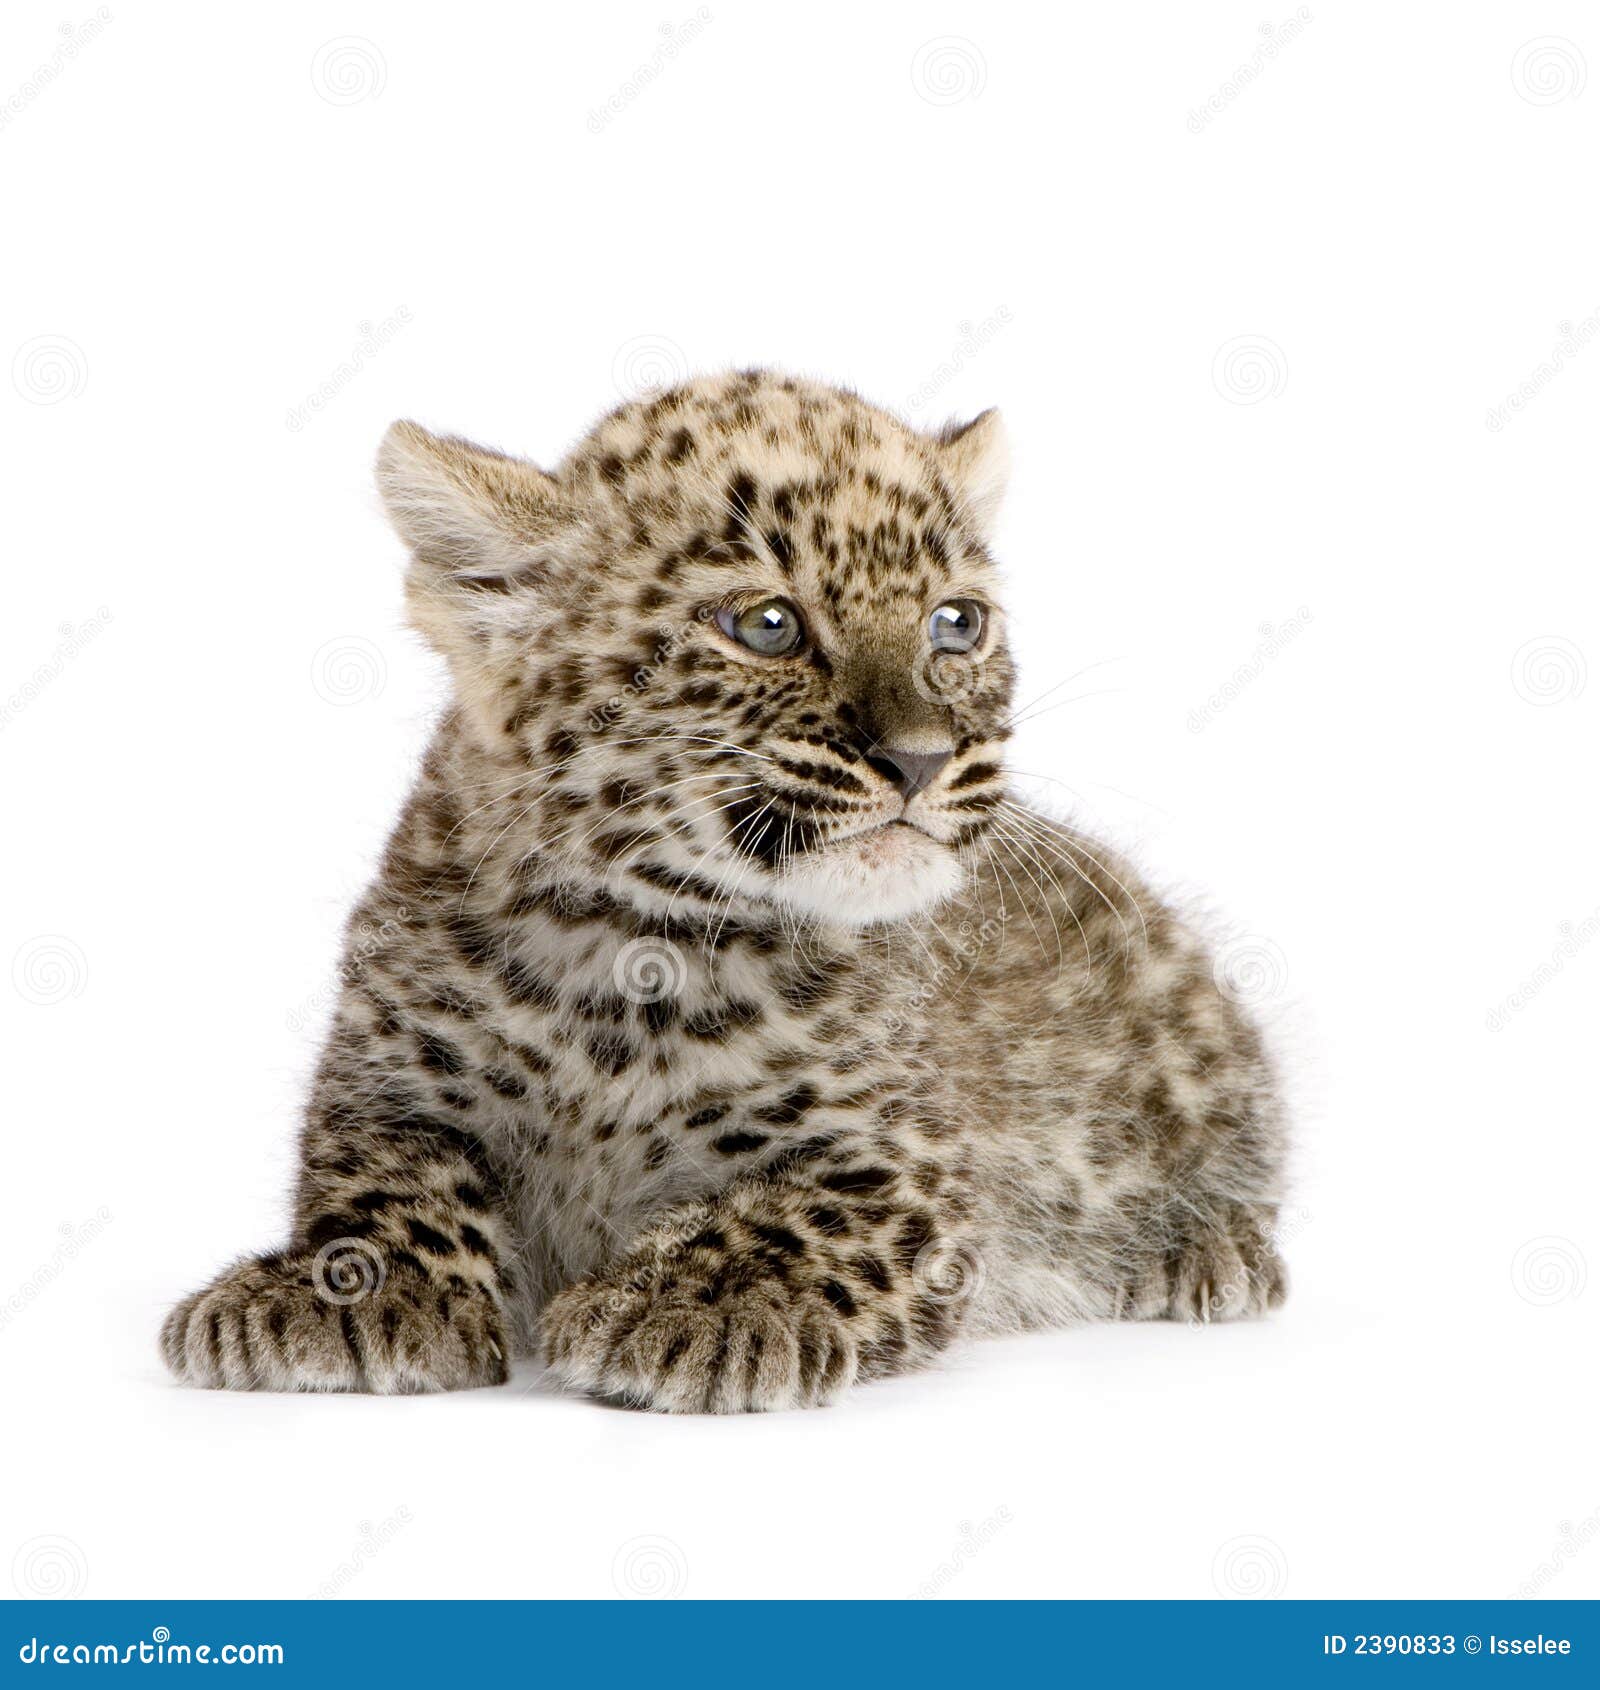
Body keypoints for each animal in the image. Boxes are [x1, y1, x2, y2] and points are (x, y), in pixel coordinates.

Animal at [161, 369, 1288, 1411]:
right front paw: (334, 1289)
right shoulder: (389, 1086)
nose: (923, 759)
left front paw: (689, 1301)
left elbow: (797, 1213)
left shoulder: (901, 1162)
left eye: (956, 623)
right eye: (769, 624)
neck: (628, 955)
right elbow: (384, 1180)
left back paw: (1207, 1257)